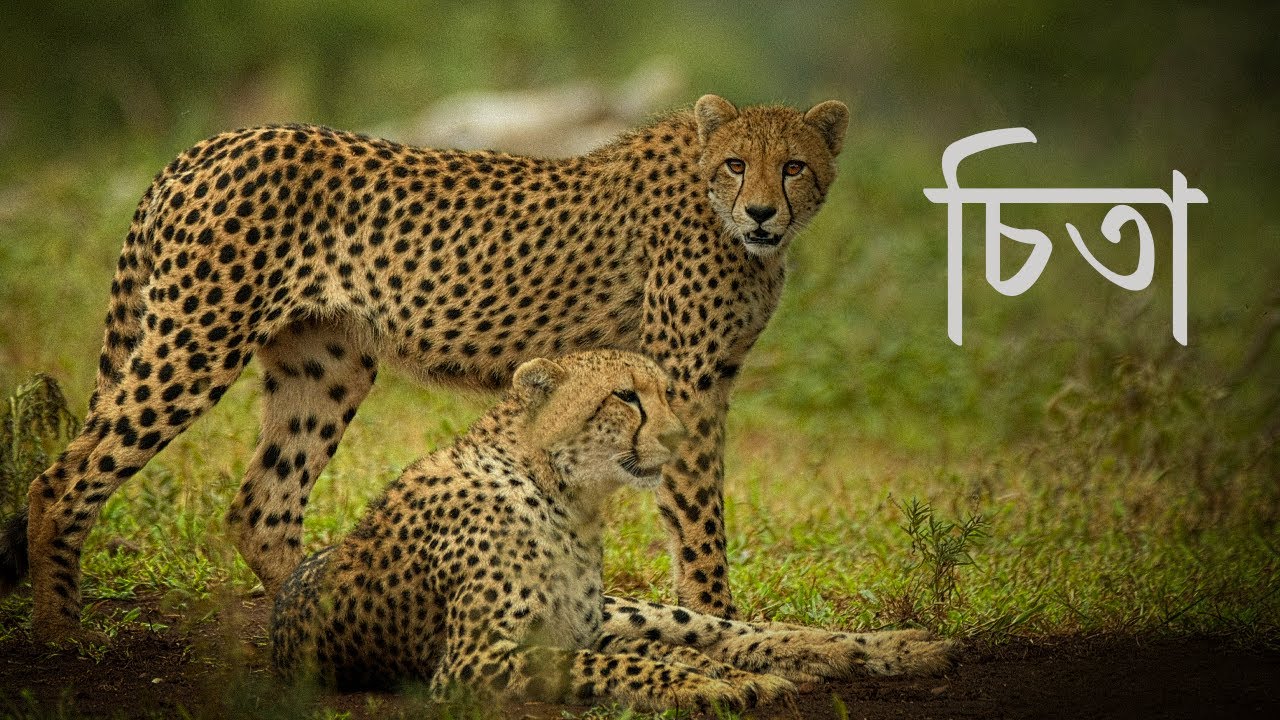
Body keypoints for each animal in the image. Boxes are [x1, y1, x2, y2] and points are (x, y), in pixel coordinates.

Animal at [6, 93, 850, 642]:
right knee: (62, 478)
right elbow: (699, 520)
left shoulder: (704, 382)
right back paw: (60, 634)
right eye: (737, 164)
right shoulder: (687, 384)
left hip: (327, 364)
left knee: (262, 507)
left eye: (794, 167)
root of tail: (209, 144)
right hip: (197, 341)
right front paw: (716, 618)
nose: (762, 213)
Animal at [270, 350, 953, 711]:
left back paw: (897, 647)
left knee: (728, 629)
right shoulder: (474, 661)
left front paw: (721, 680)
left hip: (628, 609)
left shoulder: (574, 628)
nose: (677, 437)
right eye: (625, 396)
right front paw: (709, 686)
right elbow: (617, 666)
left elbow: (635, 656)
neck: (563, 493)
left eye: (664, 393)